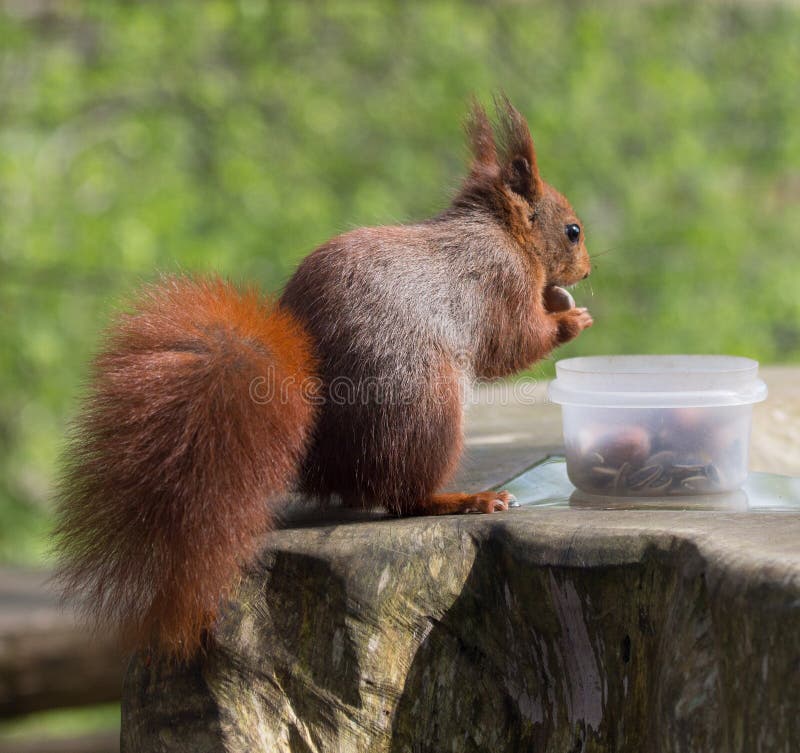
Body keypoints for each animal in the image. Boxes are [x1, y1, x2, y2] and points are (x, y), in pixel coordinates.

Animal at [53, 97, 592, 661]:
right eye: (573, 231)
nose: (588, 271)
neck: (500, 232)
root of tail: (319, 447)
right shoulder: (498, 282)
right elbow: (511, 345)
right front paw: (568, 320)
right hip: (425, 410)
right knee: (402, 497)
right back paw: (467, 499)